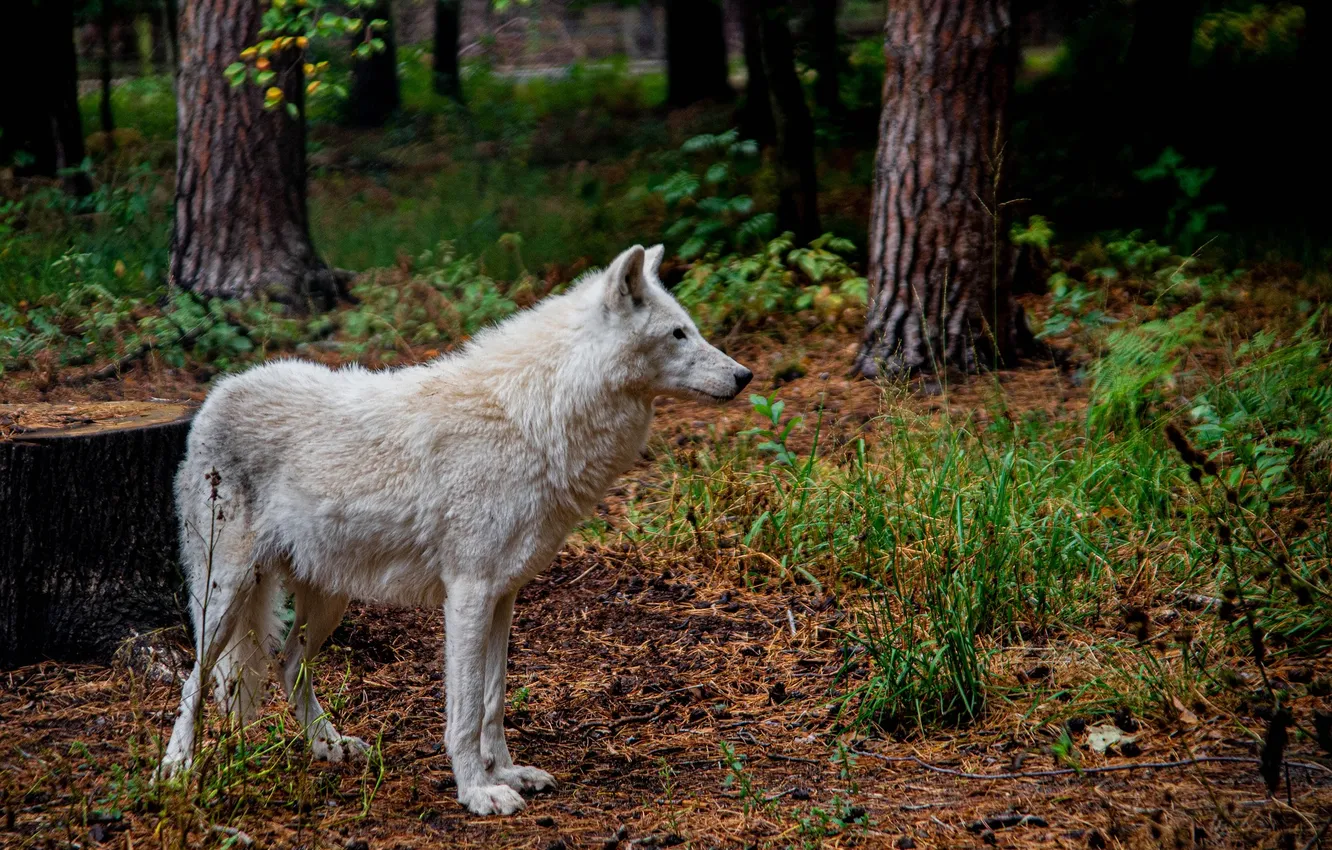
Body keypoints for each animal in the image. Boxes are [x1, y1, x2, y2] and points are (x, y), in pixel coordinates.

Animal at [157, 244, 752, 815]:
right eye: (677, 334)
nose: (744, 375)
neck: (536, 419)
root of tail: (218, 393)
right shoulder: (468, 593)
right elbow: (464, 711)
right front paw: (478, 791)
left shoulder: (504, 595)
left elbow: (494, 702)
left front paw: (507, 772)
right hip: (225, 593)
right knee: (196, 679)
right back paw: (177, 767)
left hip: (328, 600)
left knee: (286, 666)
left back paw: (330, 745)